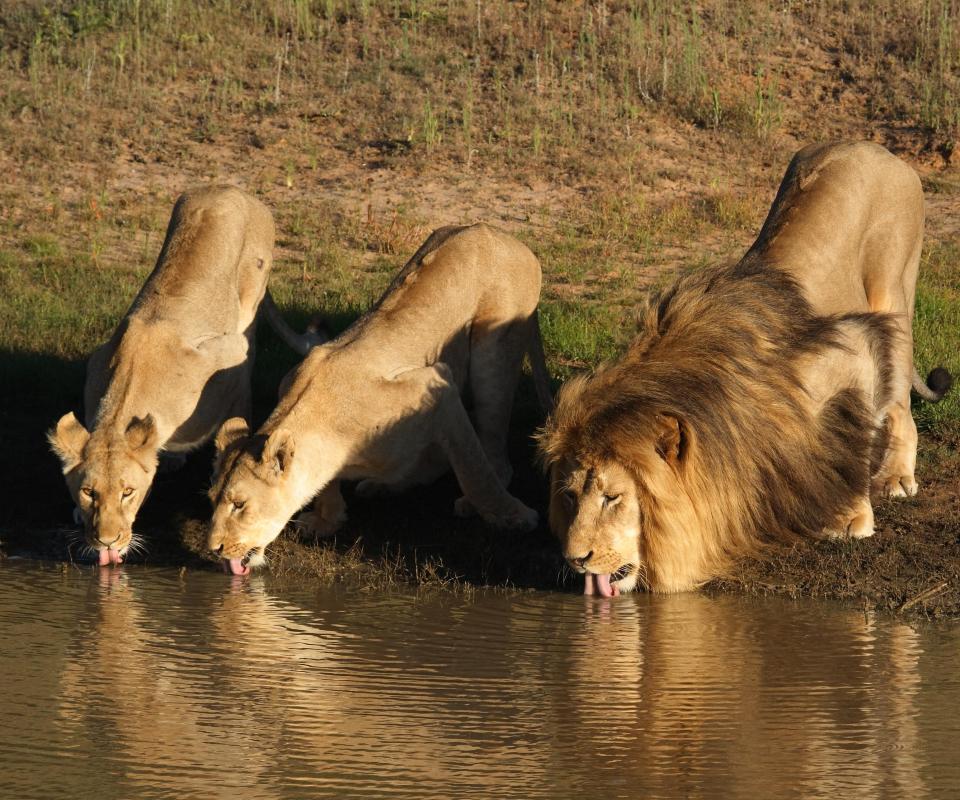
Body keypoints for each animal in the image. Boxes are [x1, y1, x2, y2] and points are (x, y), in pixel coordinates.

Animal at [48, 185, 321, 566]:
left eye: (128, 492)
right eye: (88, 492)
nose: (106, 541)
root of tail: (232, 188)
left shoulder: (231, 358)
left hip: (250, 303)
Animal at [207, 223, 553, 575]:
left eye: (239, 505)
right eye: (211, 499)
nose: (214, 548)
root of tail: (509, 238)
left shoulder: (436, 386)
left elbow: (473, 468)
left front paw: (516, 516)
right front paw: (327, 519)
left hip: (493, 353)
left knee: (495, 453)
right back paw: (384, 484)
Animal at [537, 141, 950, 595]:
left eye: (612, 498)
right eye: (569, 497)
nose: (575, 560)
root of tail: (873, 148)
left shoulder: (854, 352)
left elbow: (855, 442)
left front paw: (852, 517)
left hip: (893, 298)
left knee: (899, 402)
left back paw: (897, 477)